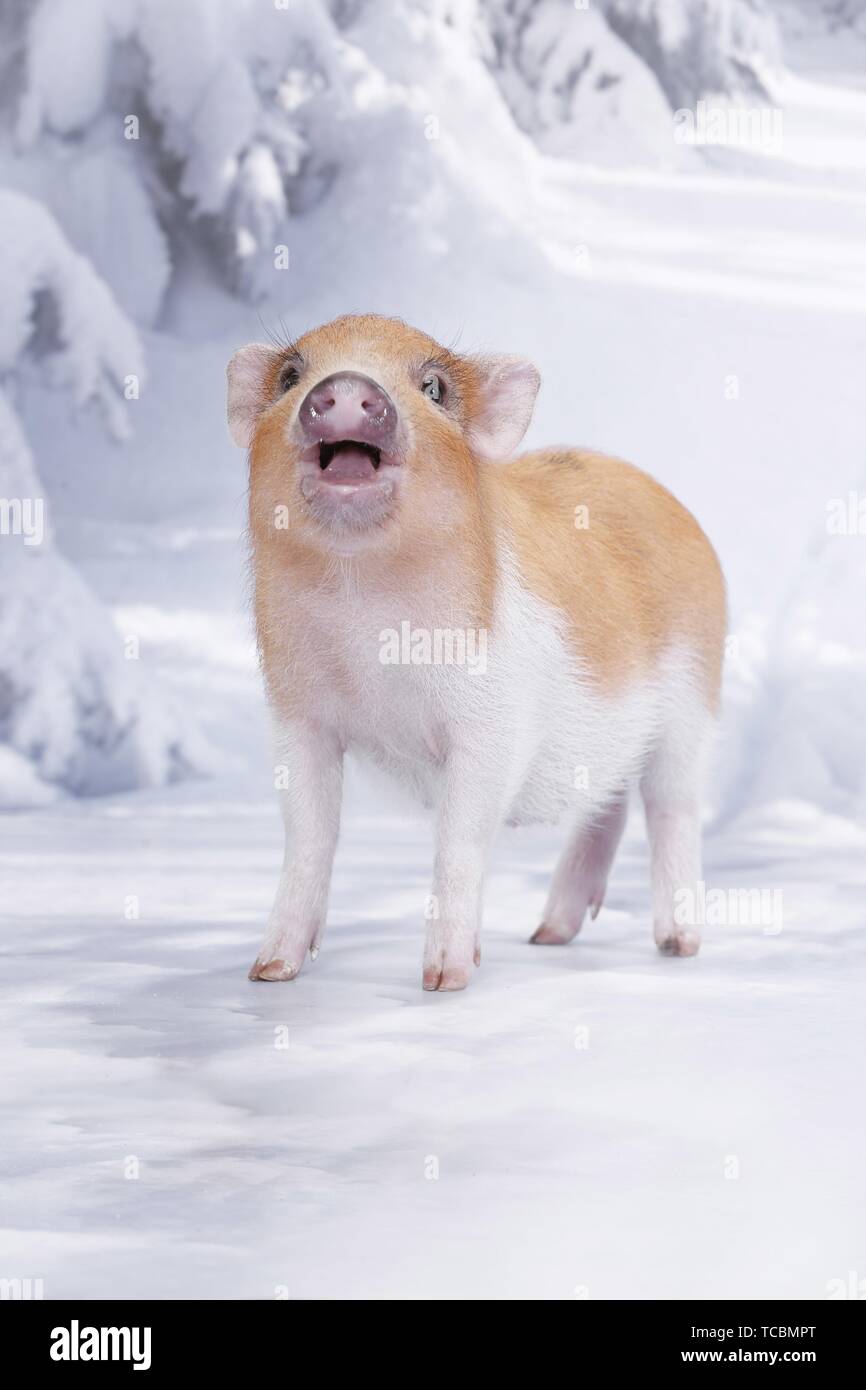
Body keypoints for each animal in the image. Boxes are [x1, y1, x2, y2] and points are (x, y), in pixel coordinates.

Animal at [226, 314, 726, 990]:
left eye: (433, 388)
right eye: (290, 376)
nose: (348, 385)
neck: (365, 617)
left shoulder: (494, 722)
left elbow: (458, 839)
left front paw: (445, 980)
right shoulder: (296, 713)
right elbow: (308, 834)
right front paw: (269, 971)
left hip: (692, 702)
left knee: (673, 808)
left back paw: (678, 945)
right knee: (609, 804)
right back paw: (547, 936)